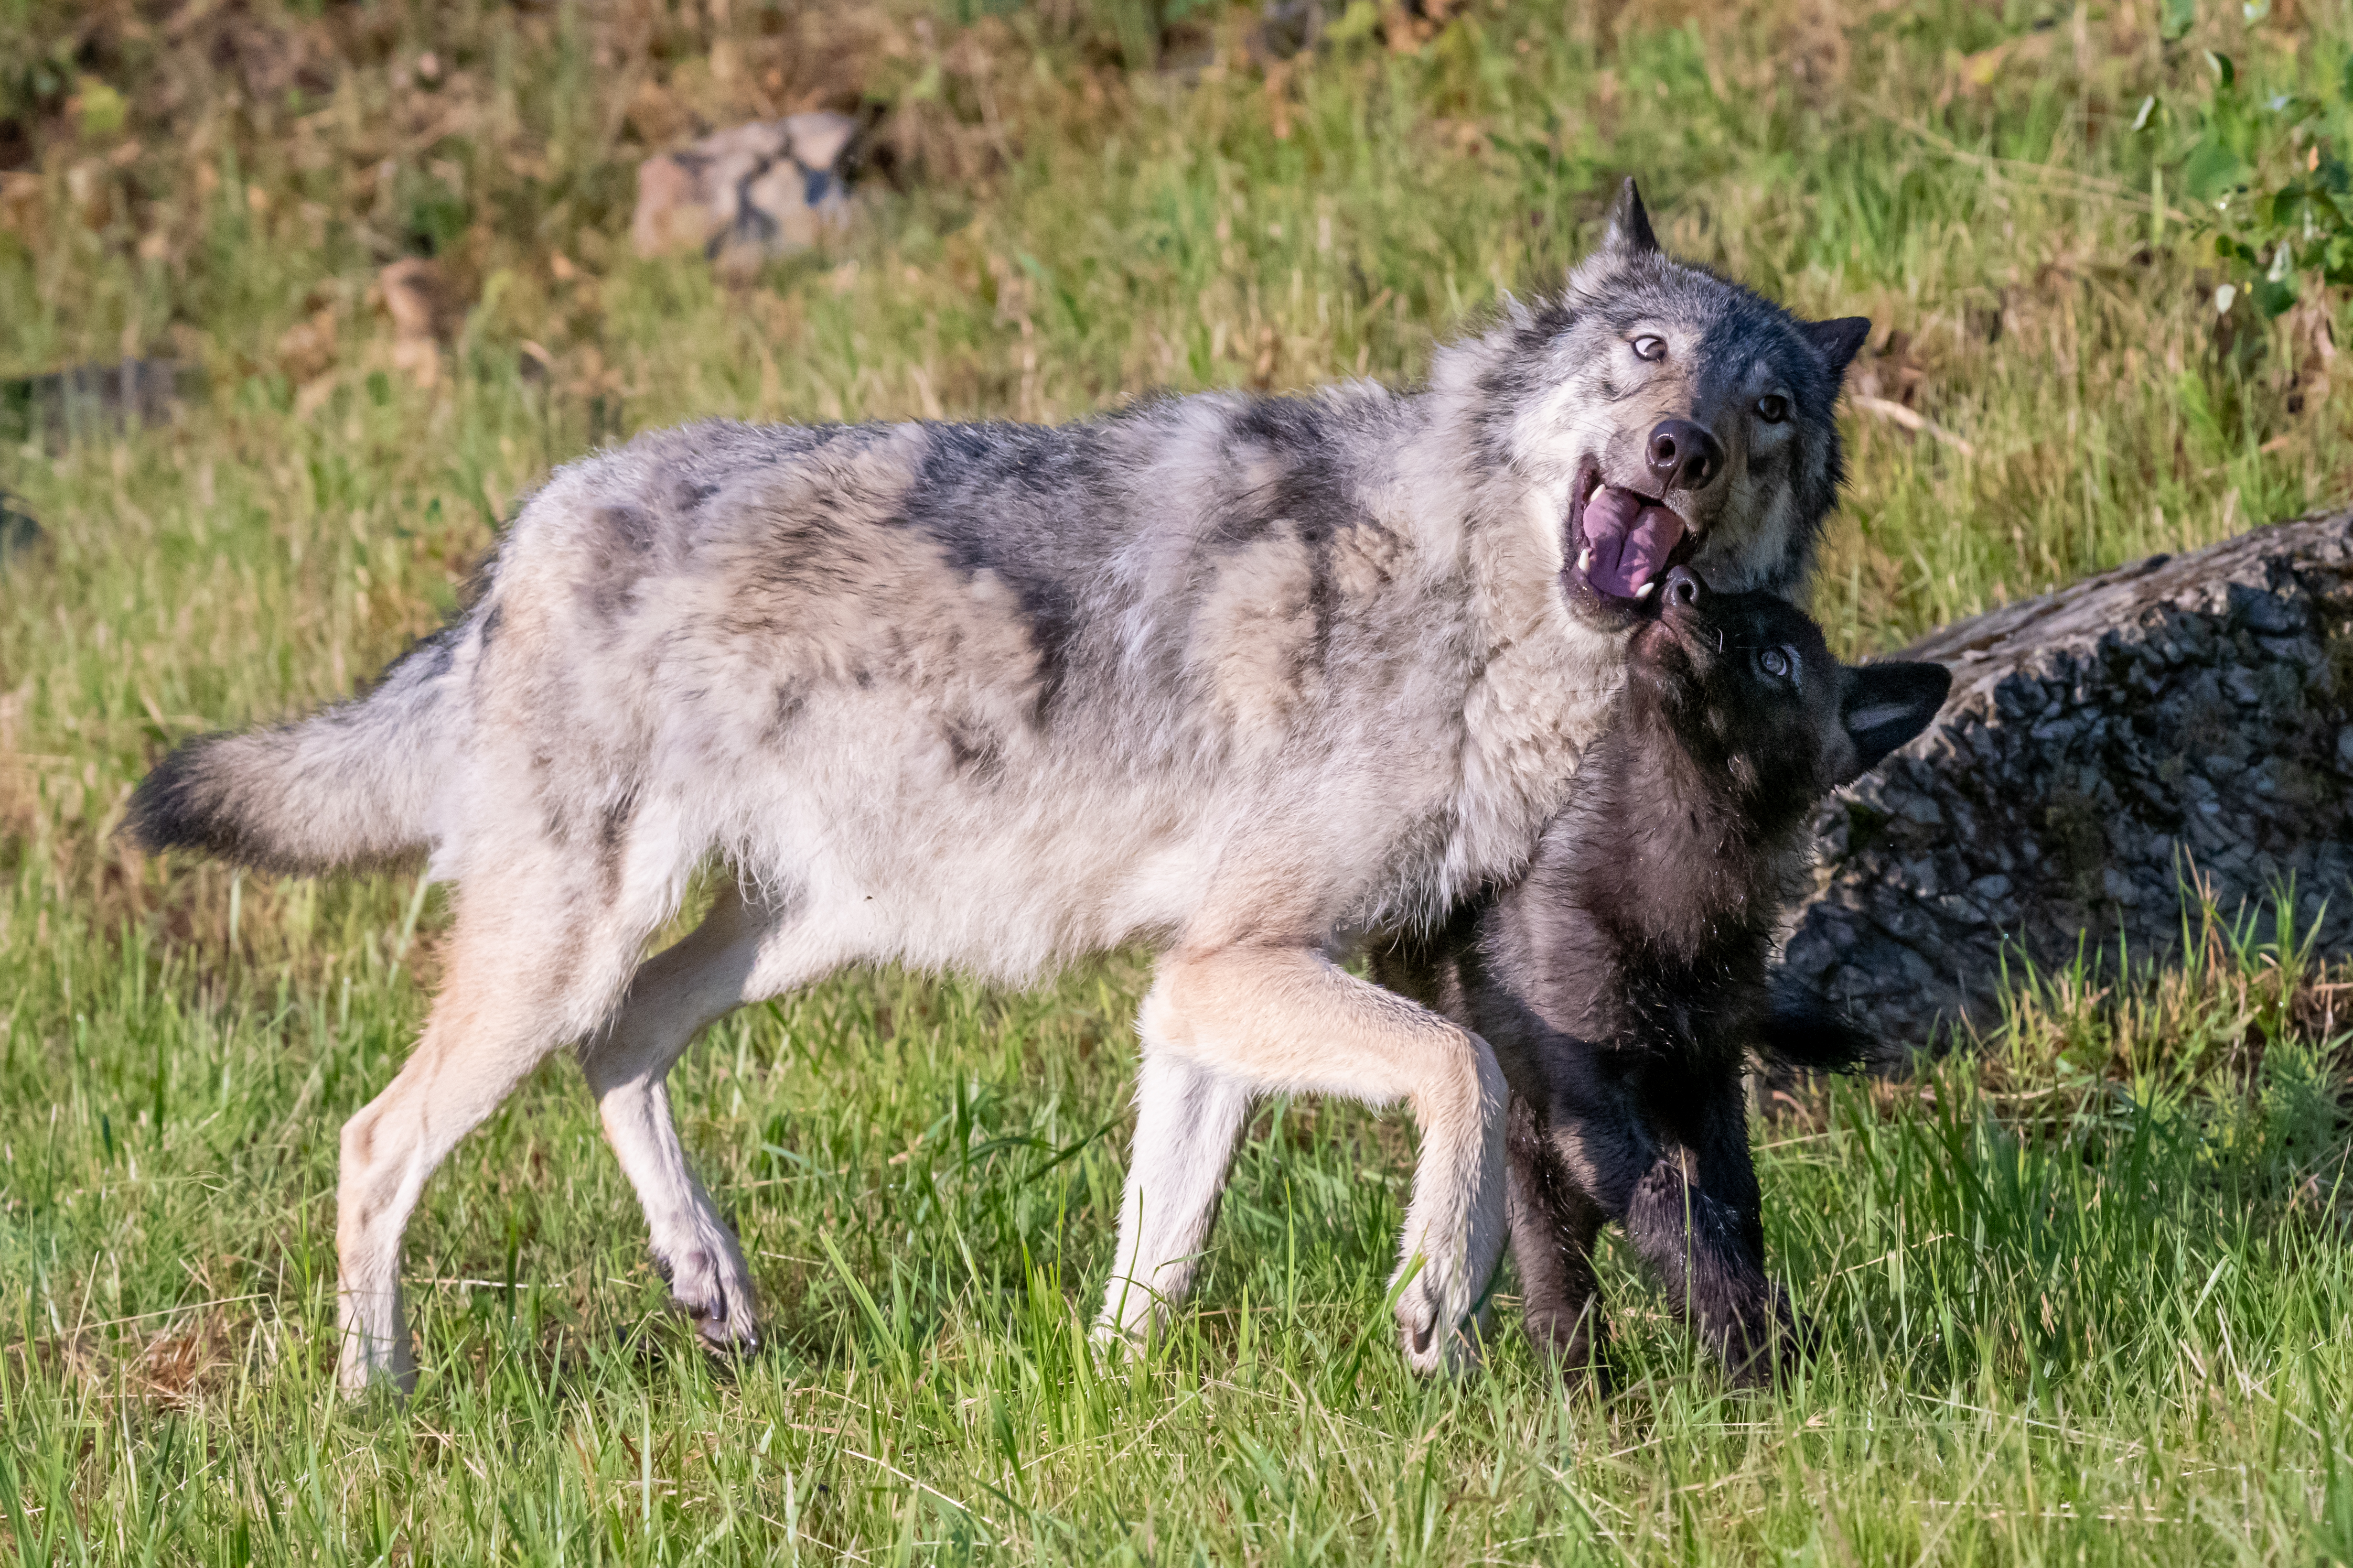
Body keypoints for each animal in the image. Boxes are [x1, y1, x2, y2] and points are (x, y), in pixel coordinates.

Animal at [122, 180, 1873, 1393]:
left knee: (616, 1050)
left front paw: (1107, 1400)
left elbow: (1156, 1252)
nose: (1678, 449)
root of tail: (532, 523)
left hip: (784, 932)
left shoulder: (1195, 996)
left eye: (1766, 409)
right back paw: (378, 1391)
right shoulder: (1234, 967)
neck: (1457, 584)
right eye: (1644, 353)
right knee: (376, 1137)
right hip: (572, 951)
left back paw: (709, 1282)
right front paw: (1436, 1292)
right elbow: (1473, 1071)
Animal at [1376, 569, 1948, 1386]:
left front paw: (1740, 1350)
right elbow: (1678, 1216)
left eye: (1775, 661)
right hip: (1533, 1161)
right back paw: (1582, 1394)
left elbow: (1729, 1216)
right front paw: (1757, 1347)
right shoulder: (1596, 1113)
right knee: (1557, 1294)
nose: (1679, 584)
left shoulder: (1709, 1090)